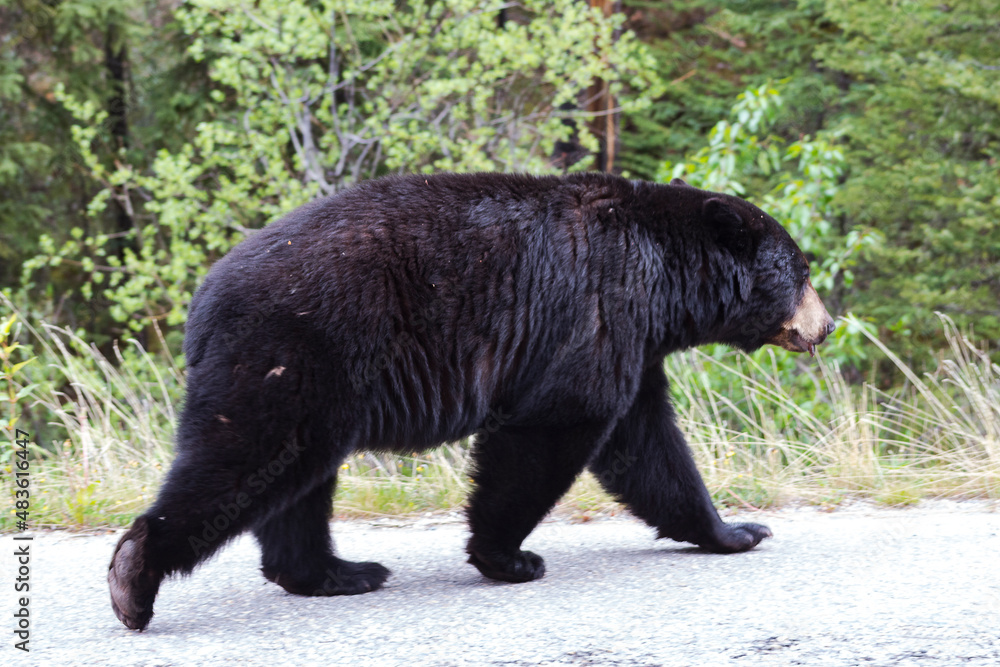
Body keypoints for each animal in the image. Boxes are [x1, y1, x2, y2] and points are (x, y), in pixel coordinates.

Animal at [108, 172, 834, 630]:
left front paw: (736, 531)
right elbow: (554, 425)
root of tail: (201, 302)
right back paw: (134, 576)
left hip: (315, 381)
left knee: (298, 484)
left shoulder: (632, 339)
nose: (827, 324)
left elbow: (648, 446)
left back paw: (339, 571)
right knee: (245, 458)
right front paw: (508, 556)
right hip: (292, 353)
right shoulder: (596, 314)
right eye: (802, 270)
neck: (663, 273)